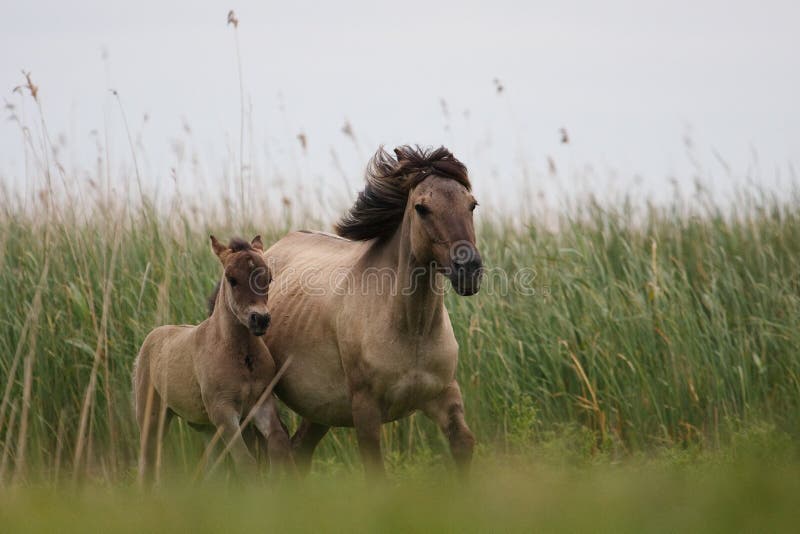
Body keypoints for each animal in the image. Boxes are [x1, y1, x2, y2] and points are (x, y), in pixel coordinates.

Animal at [133, 235, 294, 484]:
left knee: (212, 471)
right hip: (152, 417)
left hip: (207, 429)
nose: (260, 319)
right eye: (232, 279)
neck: (241, 356)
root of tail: (154, 334)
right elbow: (246, 462)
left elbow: (279, 442)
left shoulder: (262, 402)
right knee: (147, 463)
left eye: (268, 278)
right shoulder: (223, 411)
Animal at [209, 145, 483, 480]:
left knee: (298, 451)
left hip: (320, 408)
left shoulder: (443, 395)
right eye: (422, 208)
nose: (469, 269)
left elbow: (463, 443)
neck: (411, 328)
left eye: (471, 204)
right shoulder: (365, 412)